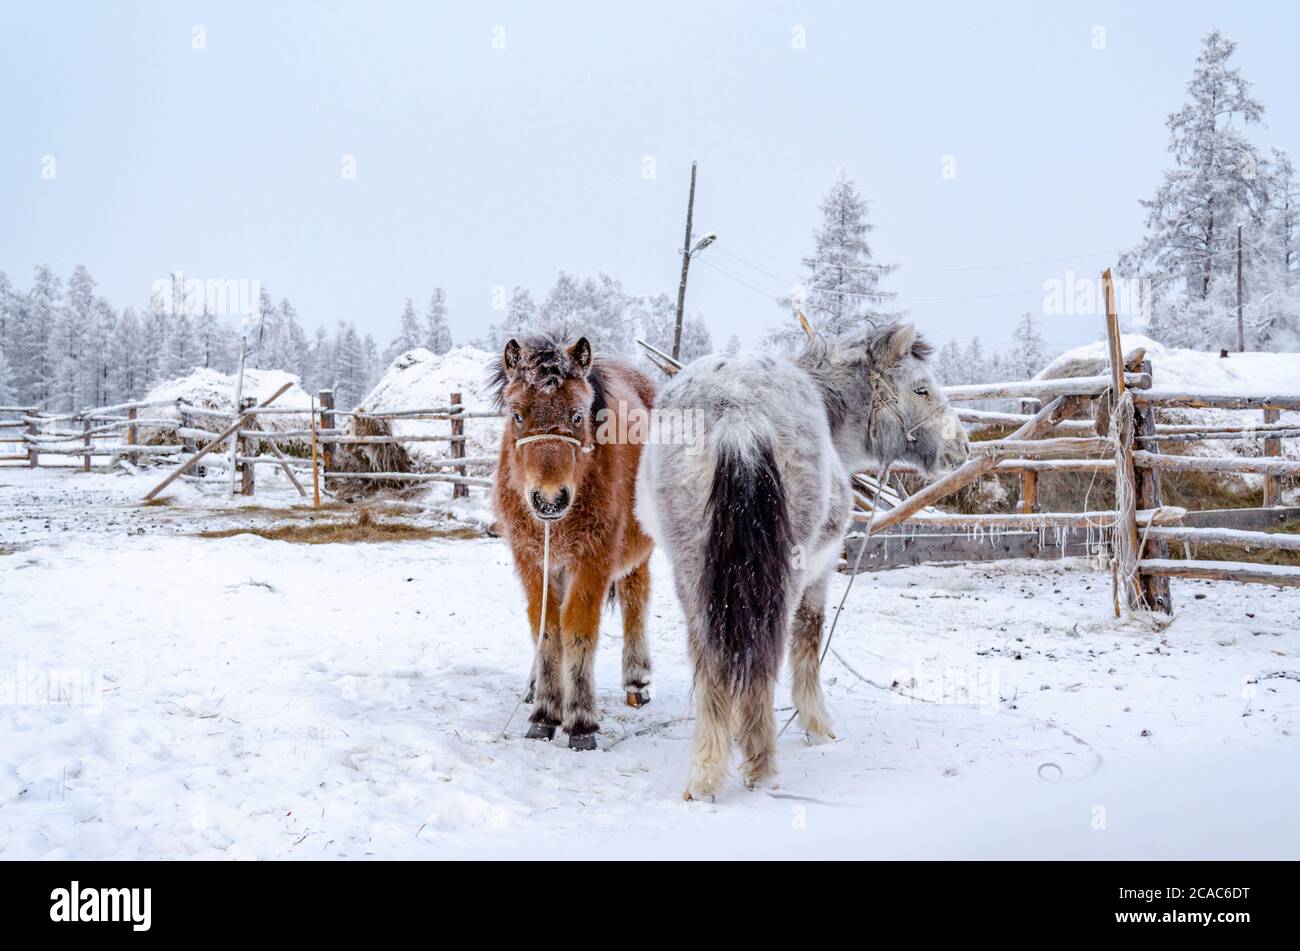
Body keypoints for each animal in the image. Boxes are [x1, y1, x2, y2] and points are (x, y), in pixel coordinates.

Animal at [490, 334, 657, 751]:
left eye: (578, 415)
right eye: (517, 415)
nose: (550, 499)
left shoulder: (593, 560)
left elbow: (578, 630)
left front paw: (580, 720)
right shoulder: (532, 560)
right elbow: (547, 630)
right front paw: (545, 712)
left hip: (638, 551)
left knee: (635, 598)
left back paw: (637, 680)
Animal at [635, 322, 969, 799]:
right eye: (921, 388)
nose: (960, 447)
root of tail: (738, 413)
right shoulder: (819, 572)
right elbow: (810, 638)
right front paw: (817, 725)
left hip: (692, 571)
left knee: (709, 659)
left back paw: (706, 771)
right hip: (782, 577)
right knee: (766, 654)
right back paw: (760, 765)